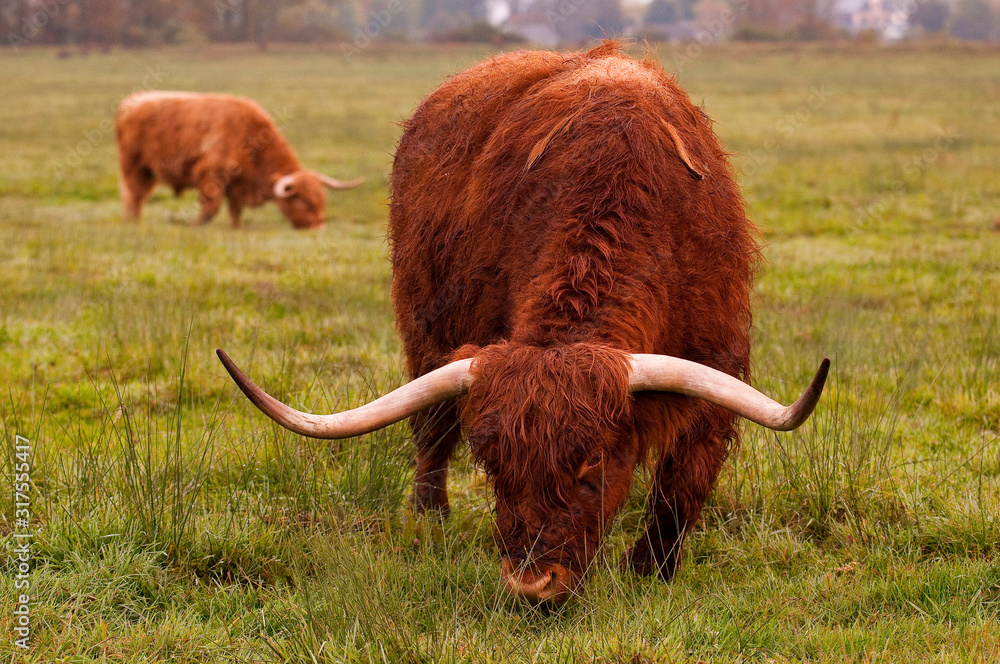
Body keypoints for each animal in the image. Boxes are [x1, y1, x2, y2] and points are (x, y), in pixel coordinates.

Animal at [115, 91, 363, 229]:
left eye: (322, 199)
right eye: (302, 201)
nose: (319, 227)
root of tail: (133, 101)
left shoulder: (237, 186)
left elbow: (235, 210)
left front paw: (235, 227)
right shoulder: (209, 176)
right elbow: (210, 207)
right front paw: (196, 225)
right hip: (134, 167)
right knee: (133, 195)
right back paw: (131, 222)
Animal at [217, 43, 829, 603]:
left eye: (590, 465)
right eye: (494, 466)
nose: (533, 585)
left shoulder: (717, 358)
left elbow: (684, 480)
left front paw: (650, 570)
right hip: (423, 327)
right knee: (432, 431)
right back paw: (430, 521)